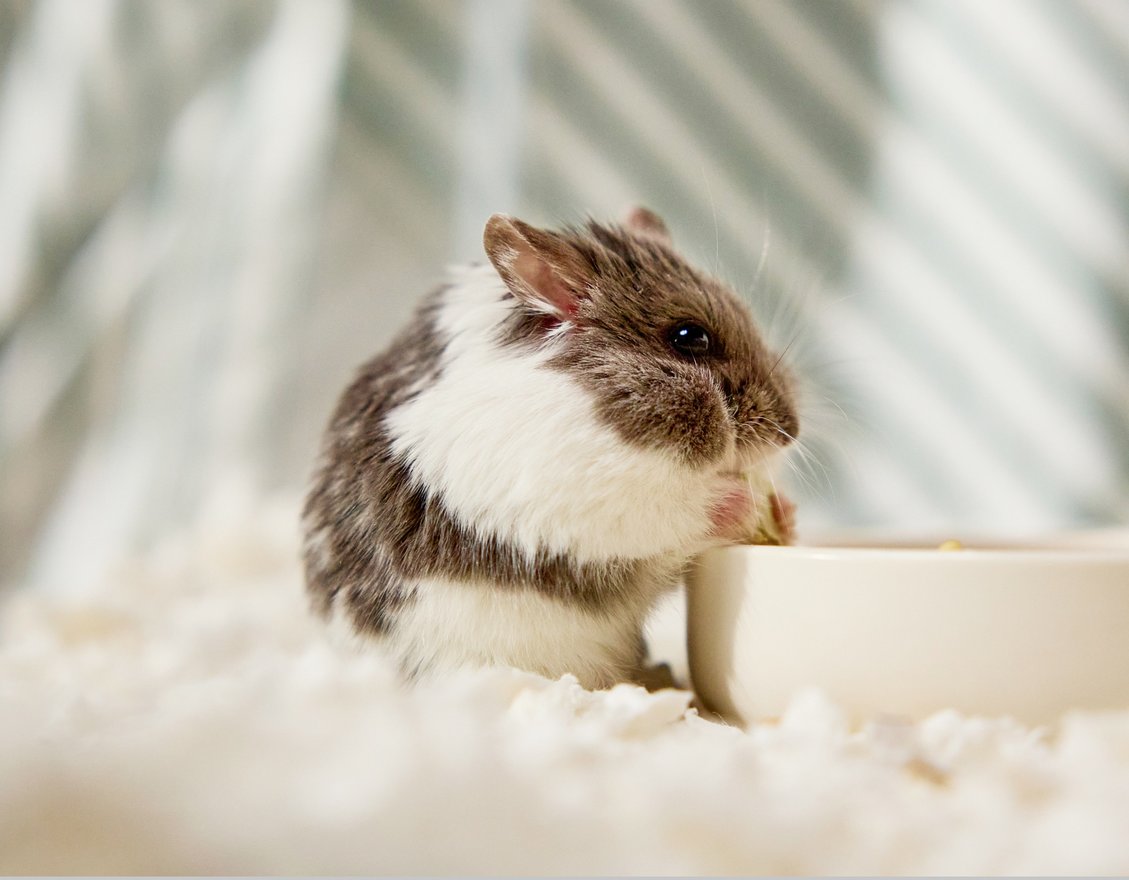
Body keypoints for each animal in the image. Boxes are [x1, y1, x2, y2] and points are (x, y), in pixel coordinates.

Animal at [301, 208, 798, 690]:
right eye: (689, 337)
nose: (789, 433)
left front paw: (785, 512)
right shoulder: (578, 497)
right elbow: (679, 512)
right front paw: (743, 506)